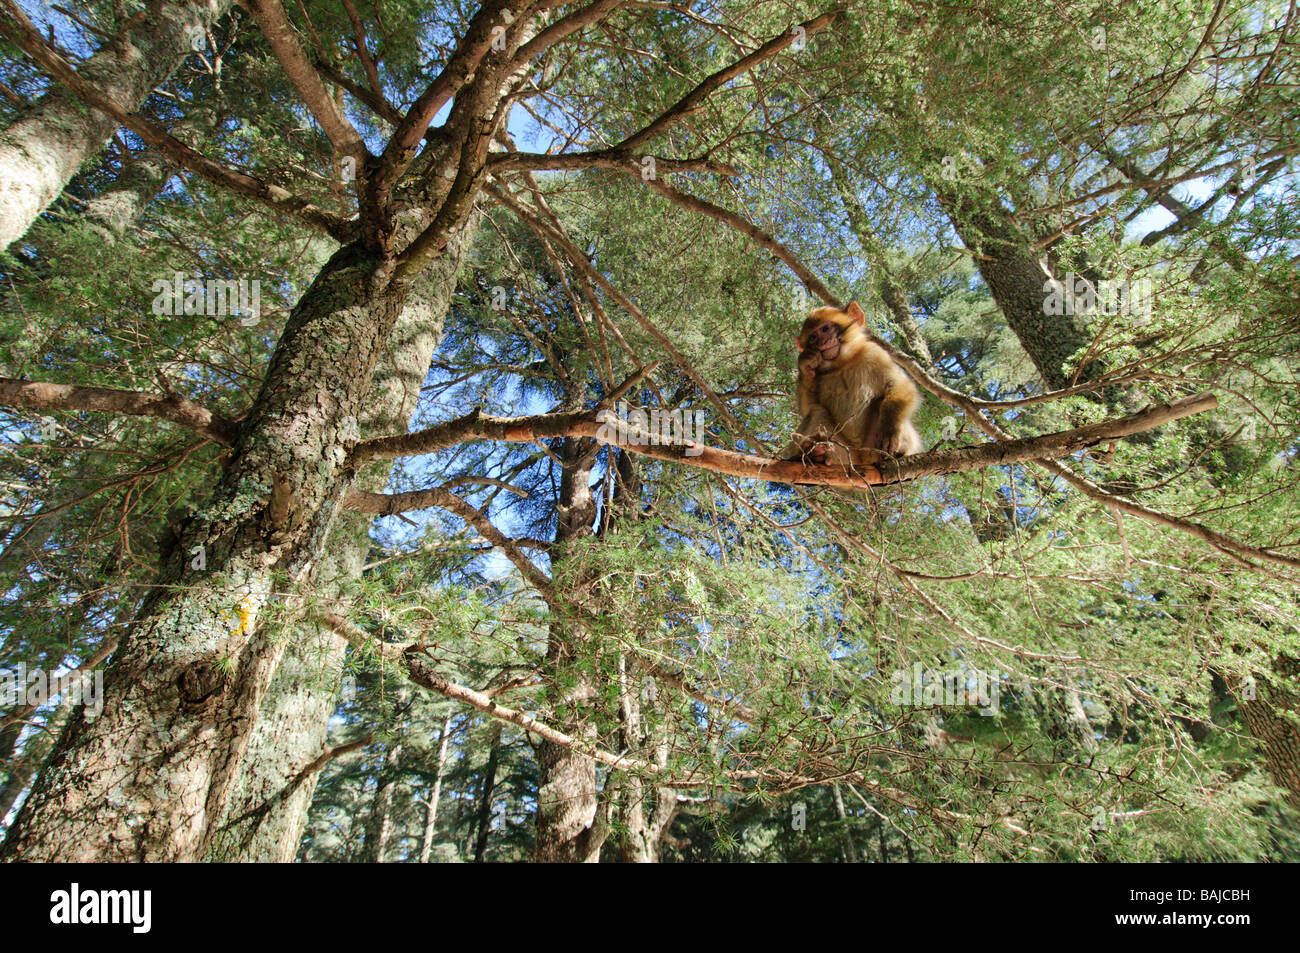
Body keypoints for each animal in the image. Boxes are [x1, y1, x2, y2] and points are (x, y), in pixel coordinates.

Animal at [781, 300, 924, 465]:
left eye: (825, 329)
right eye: (813, 337)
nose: (822, 342)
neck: (843, 363)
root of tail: (859, 458)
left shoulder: (874, 353)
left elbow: (899, 386)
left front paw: (889, 430)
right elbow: (808, 407)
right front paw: (806, 364)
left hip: (871, 447)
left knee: (881, 402)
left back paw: (900, 451)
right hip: (841, 450)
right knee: (817, 411)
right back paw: (816, 453)